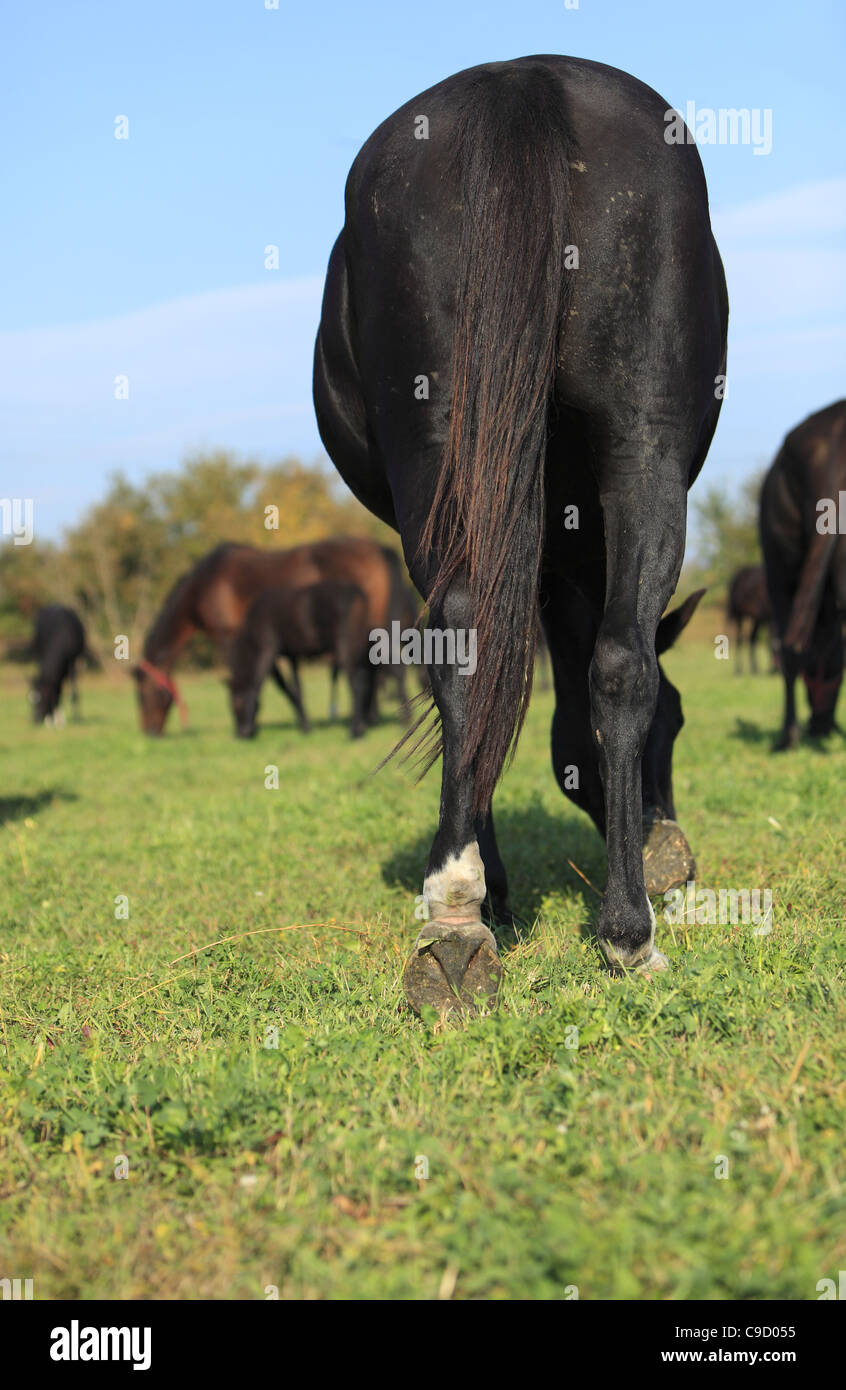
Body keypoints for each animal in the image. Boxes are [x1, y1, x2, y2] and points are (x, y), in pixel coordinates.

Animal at [229, 582, 372, 739]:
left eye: (234, 705)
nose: (238, 733)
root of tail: (357, 594)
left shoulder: (267, 650)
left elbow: (257, 685)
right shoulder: (292, 655)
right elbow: (296, 689)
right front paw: (305, 727)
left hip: (344, 648)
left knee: (356, 685)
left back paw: (354, 731)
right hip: (359, 650)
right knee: (365, 681)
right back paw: (362, 726)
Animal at [313, 55, 728, 1010]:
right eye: (681, 726)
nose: (674, 851)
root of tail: (522, 81)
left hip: (465, 453)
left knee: (487, 651)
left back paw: (458, 921)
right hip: (637, 454)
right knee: (613, 660)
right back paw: (622, 927)